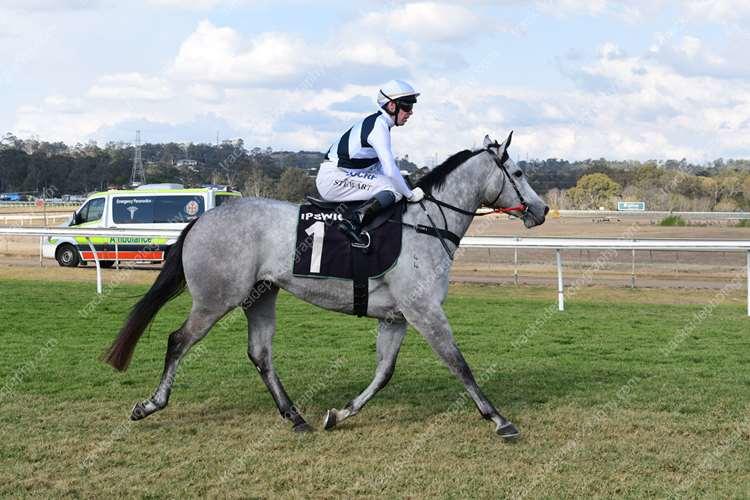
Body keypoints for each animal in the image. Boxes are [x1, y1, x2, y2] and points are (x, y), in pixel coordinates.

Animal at [104, 132, 549, 440]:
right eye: (519, 173)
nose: (542, 209)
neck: (426, 224)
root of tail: (201, 218)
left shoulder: (397, 317)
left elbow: (384, 373)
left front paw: (339, 414)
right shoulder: (425, 311)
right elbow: (460, 364)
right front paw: (499, 419)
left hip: (261, 295)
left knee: (260, 354)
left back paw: (295, 417)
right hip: (215, 299)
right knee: (178, 340)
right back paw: (150, 405)